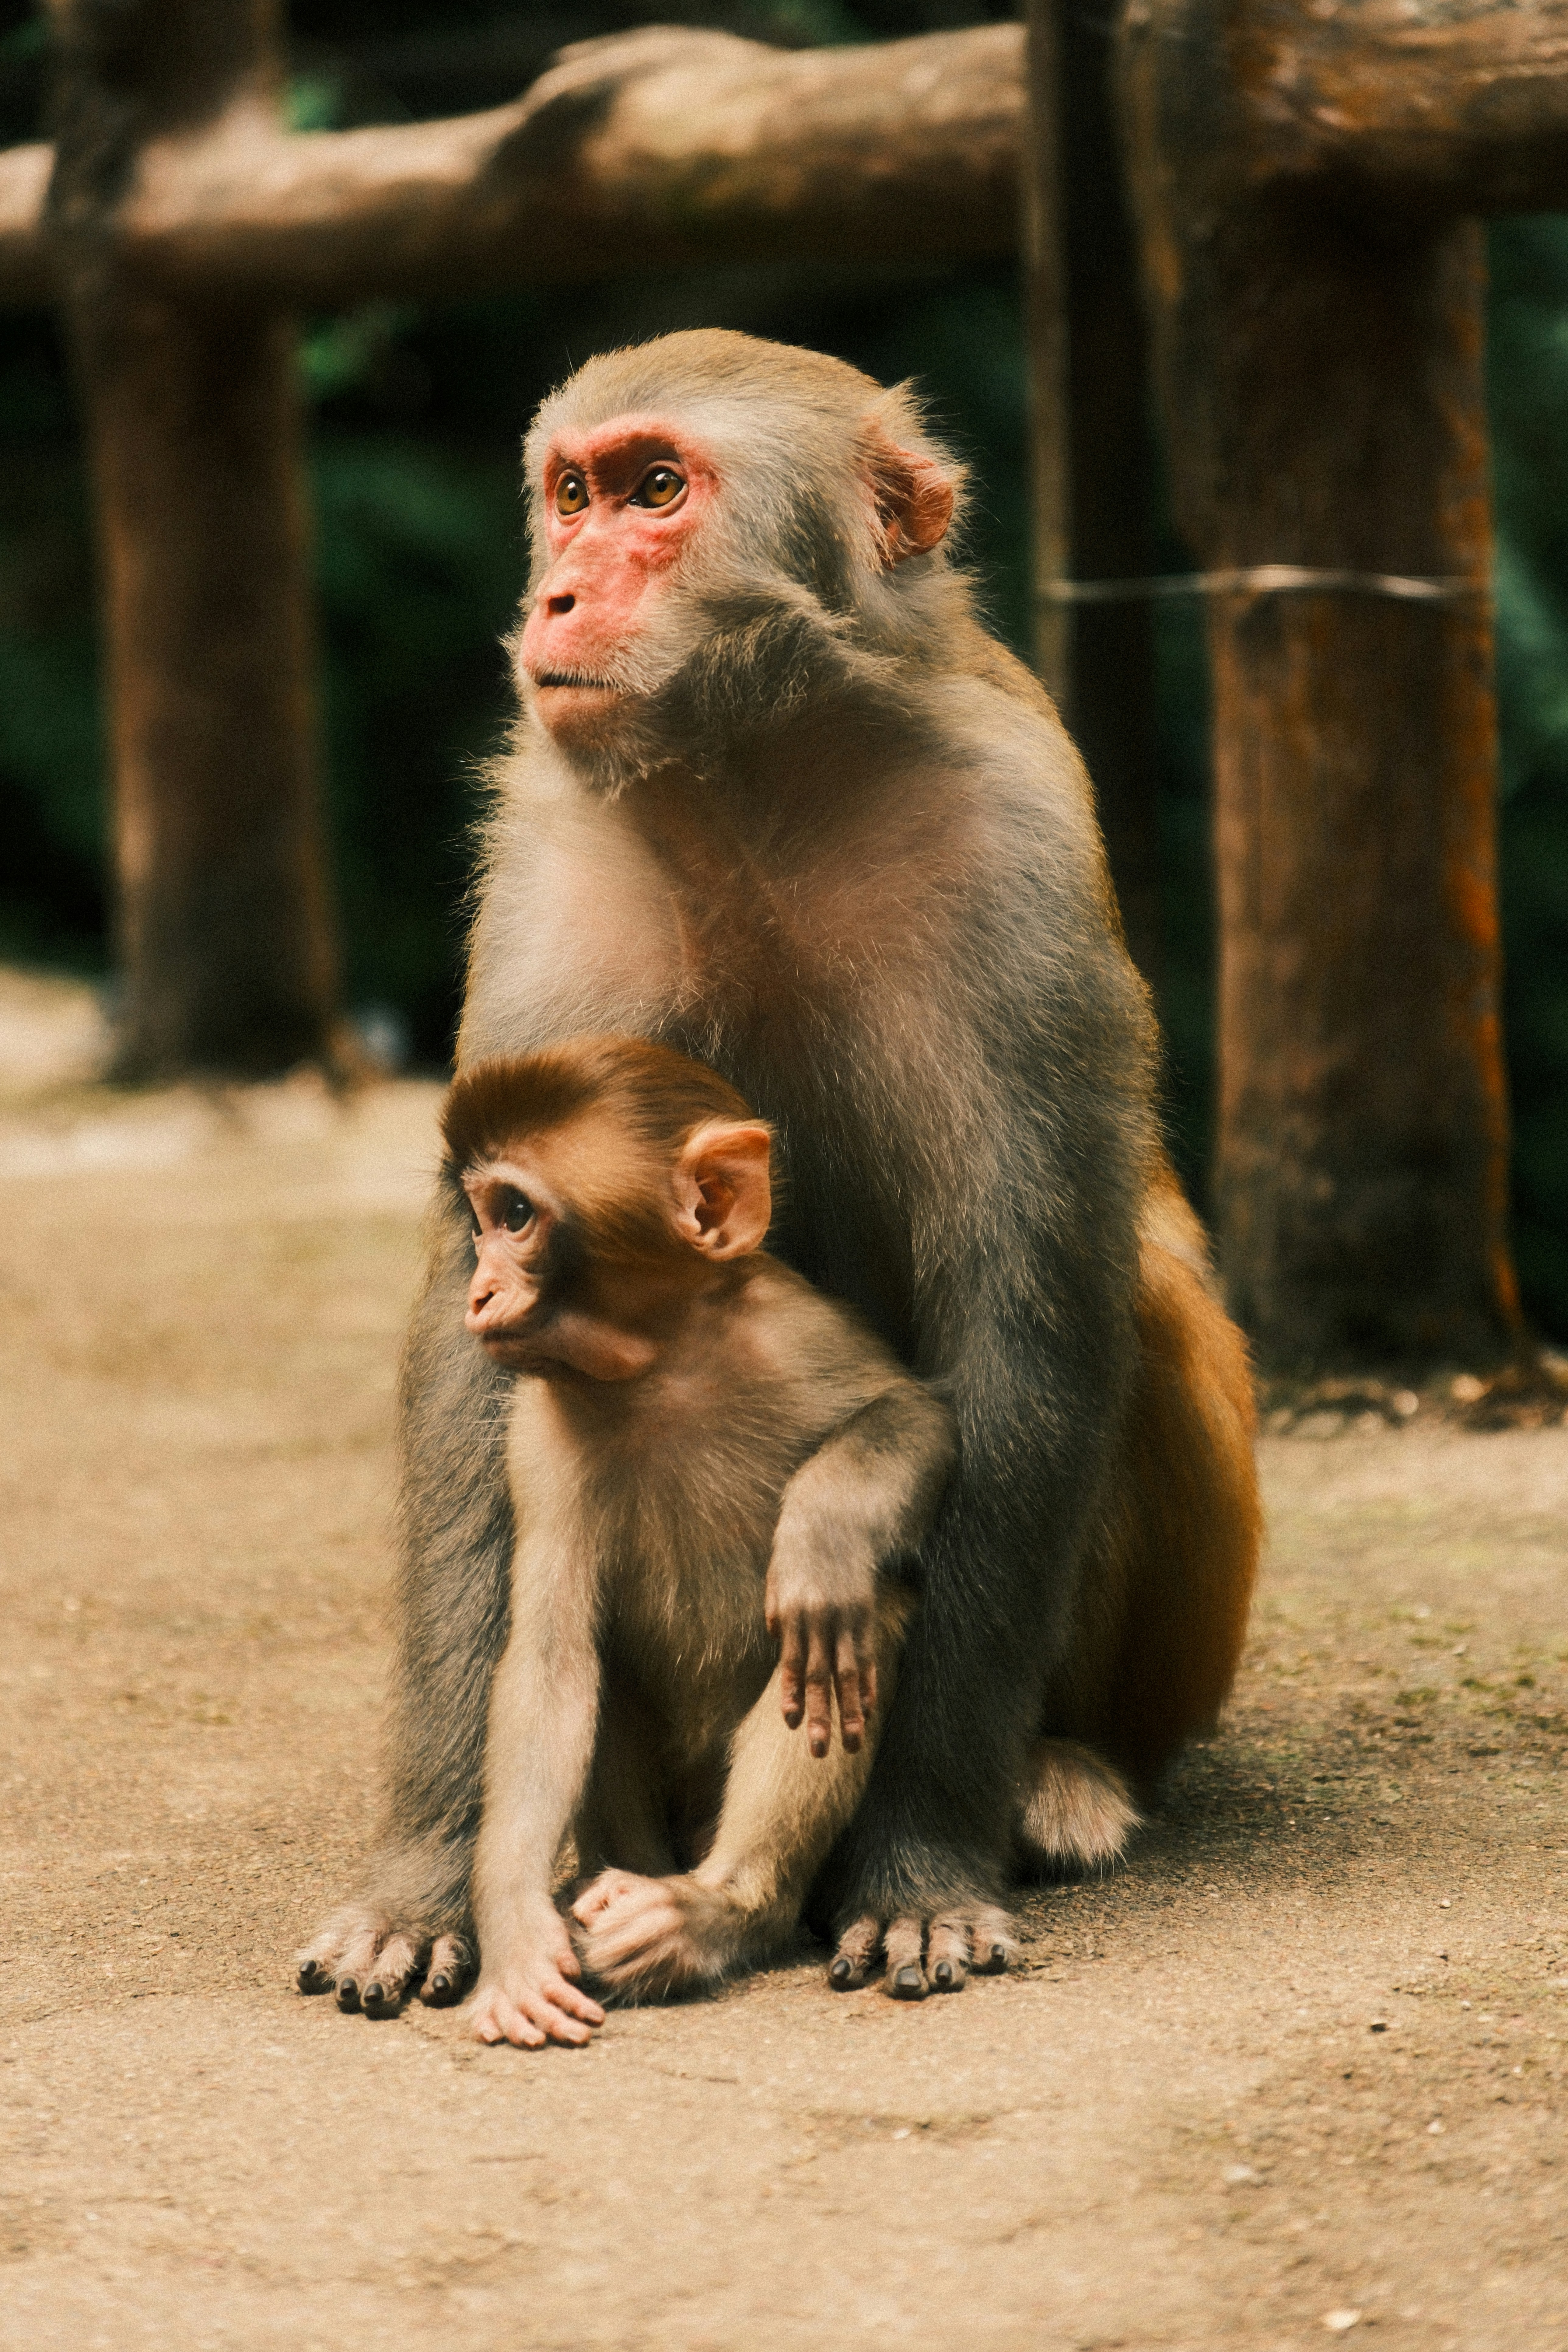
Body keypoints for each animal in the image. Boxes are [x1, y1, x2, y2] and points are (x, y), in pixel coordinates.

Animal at [409, 1033, 962, 2045]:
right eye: (482, 1222)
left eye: (515, 1215)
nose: (478, 1289)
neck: (659, 1355)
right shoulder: (540, 1431)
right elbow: (551, 1662)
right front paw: (514, 1933)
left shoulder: (790, 1324)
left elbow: (915, 1414)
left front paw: (821, 1539)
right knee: (602, 1665)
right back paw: (617, 1893)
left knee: (854, 1629)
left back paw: (719, 1911)